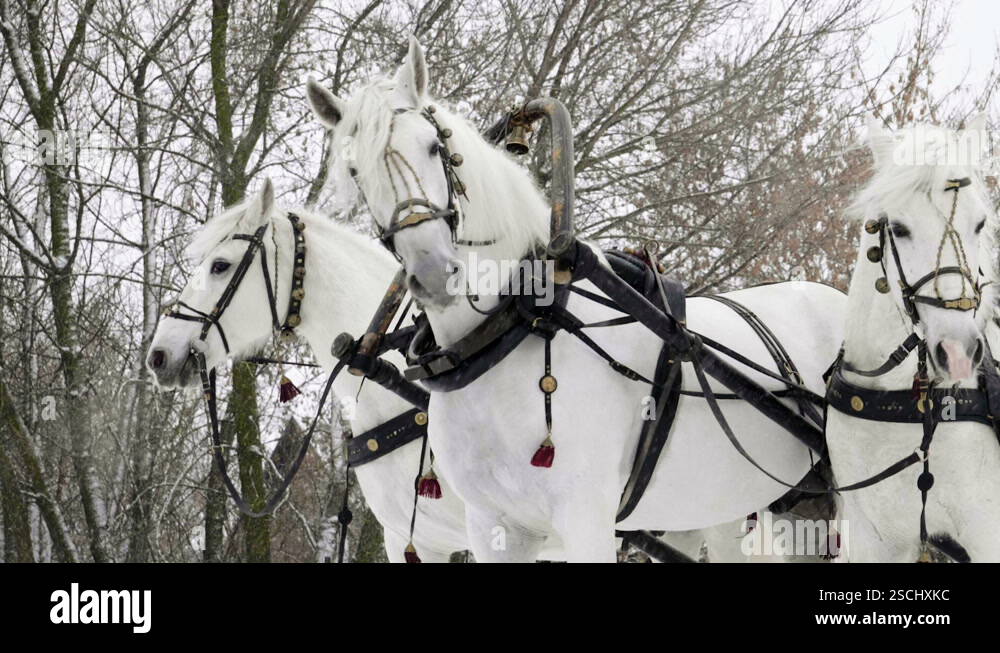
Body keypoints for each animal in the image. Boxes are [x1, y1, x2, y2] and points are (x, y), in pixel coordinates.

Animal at [304, 37, 848, 562]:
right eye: (355, 171)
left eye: (435, 147)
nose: (434, 272)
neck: (514, 326)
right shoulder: (496, 526)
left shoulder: (586, 518)